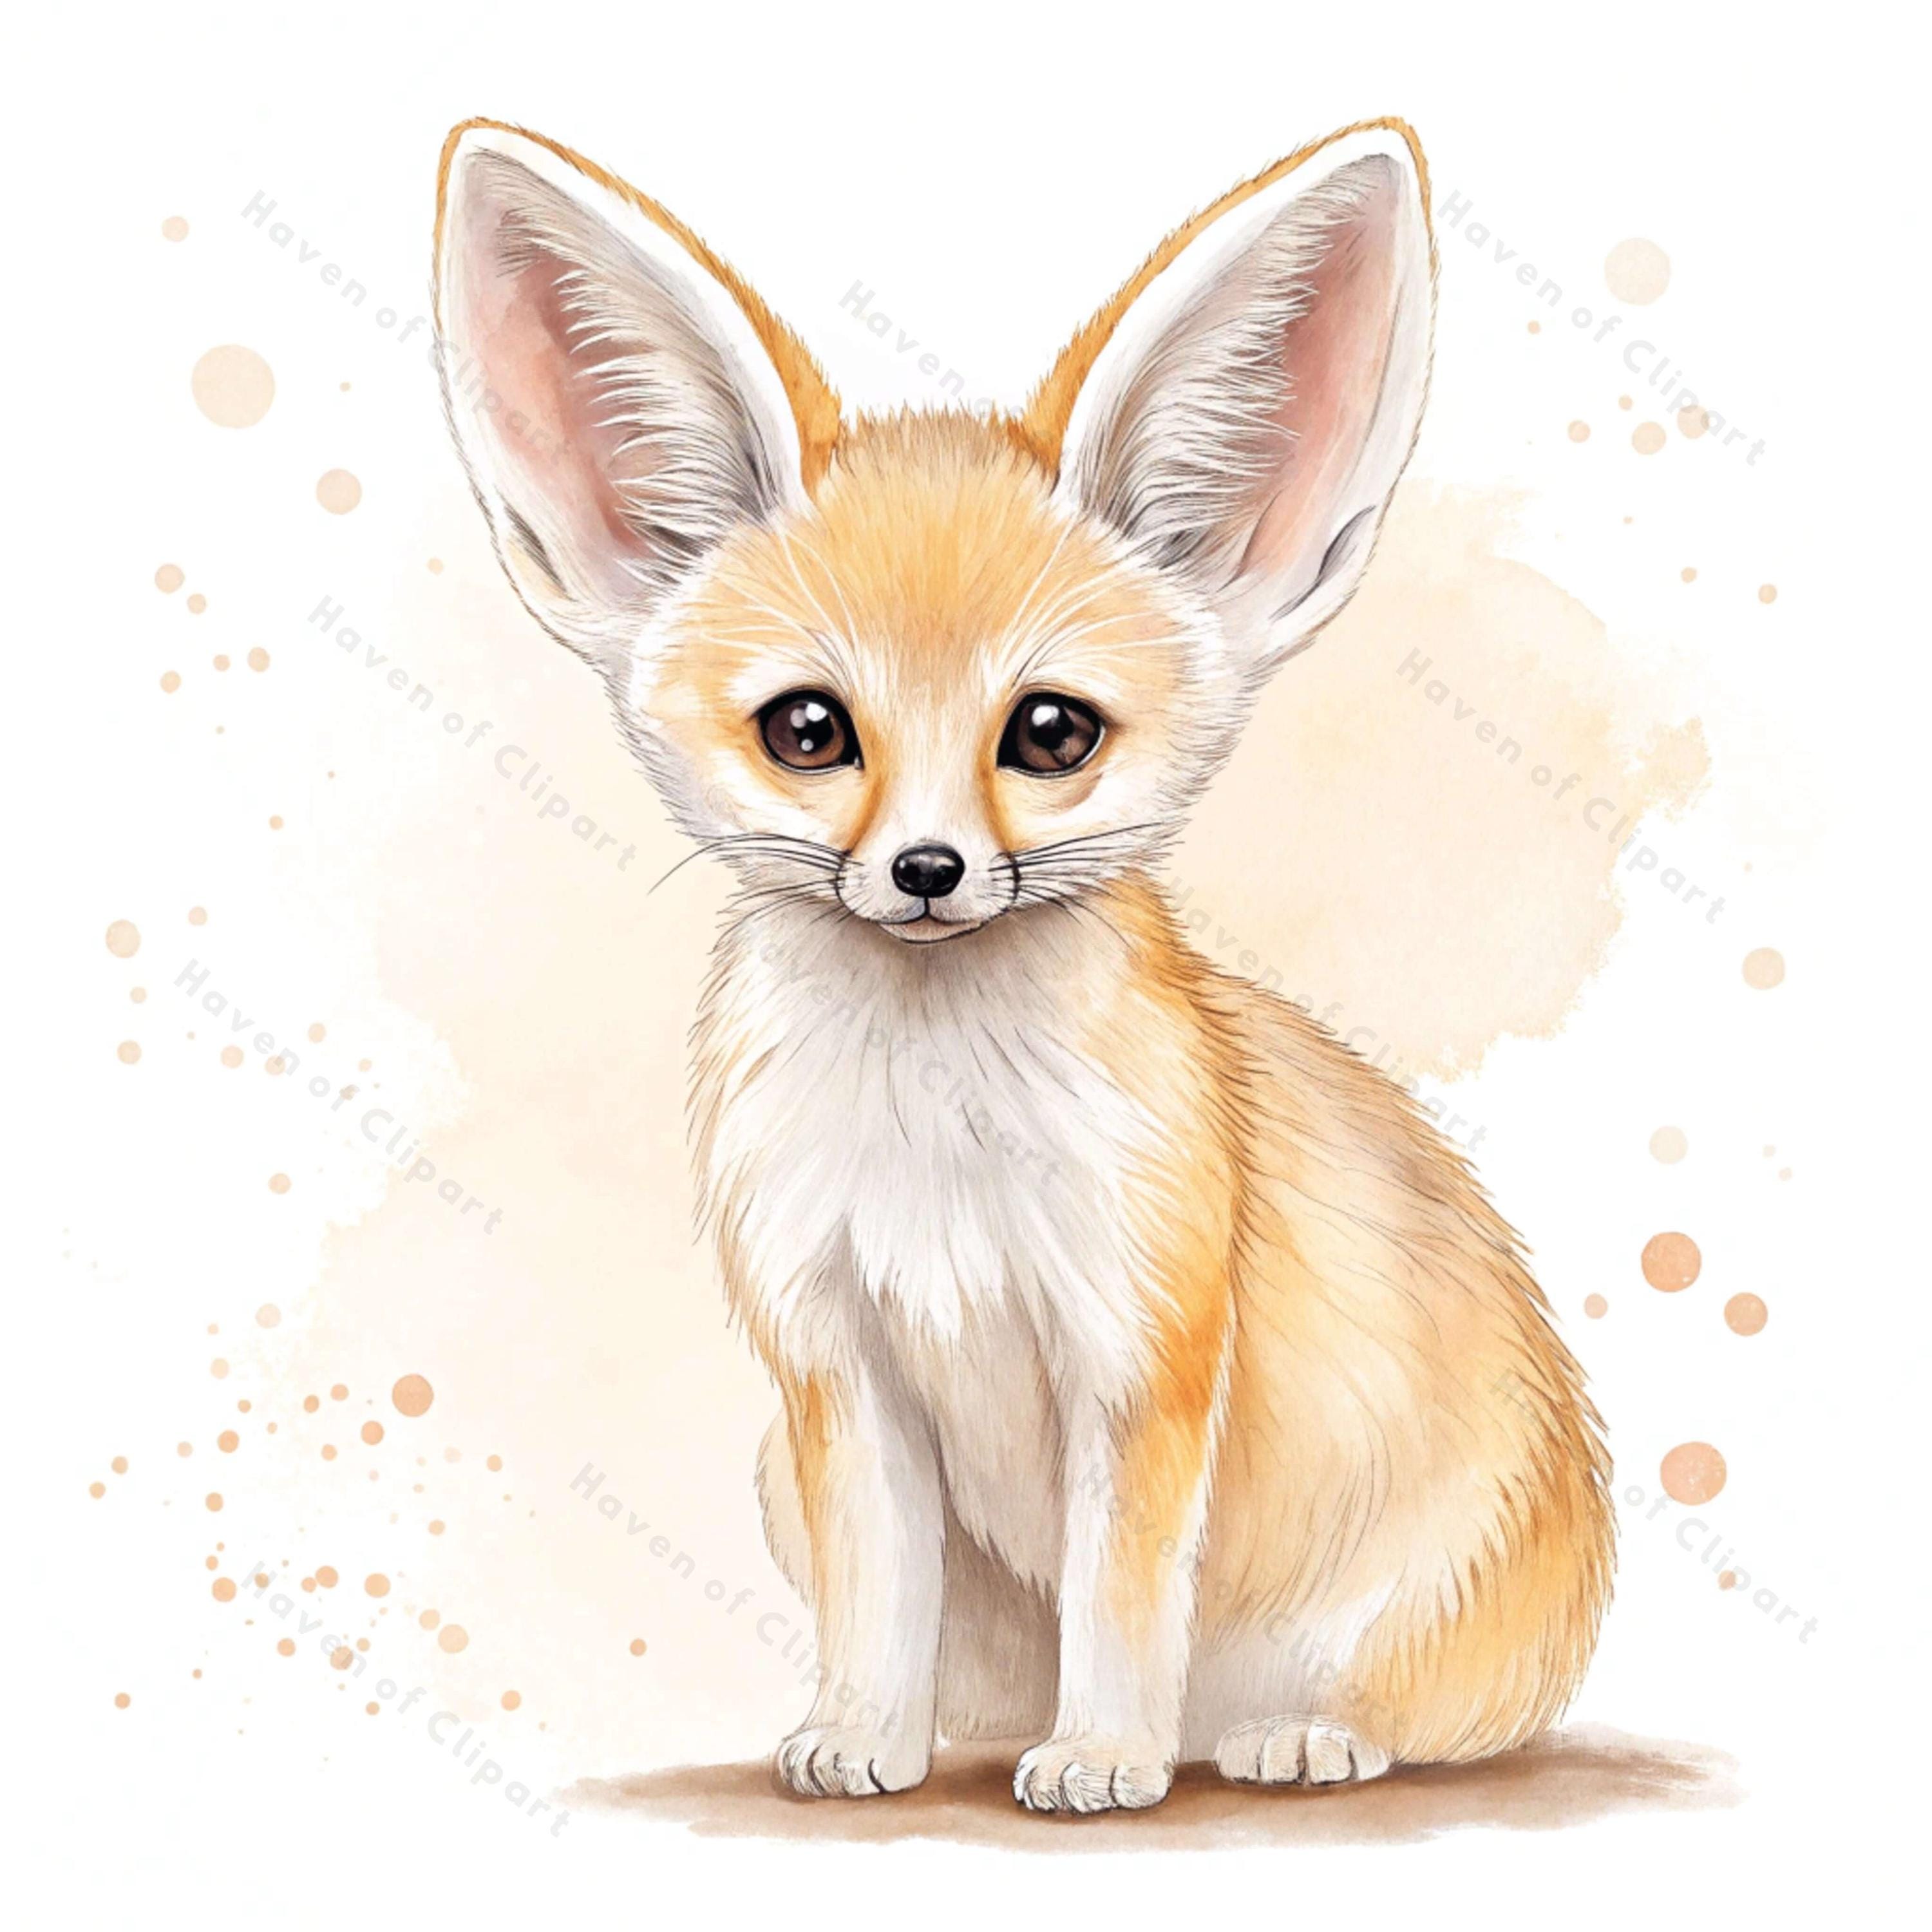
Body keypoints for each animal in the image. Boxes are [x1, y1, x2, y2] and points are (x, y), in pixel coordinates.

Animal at [434, 115, 1613, 1814]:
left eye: (1049, 733)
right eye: (809, 729)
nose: (927, 872)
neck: (934, 1138)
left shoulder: (1142, 1351)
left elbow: (1120, 1591)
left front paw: (1104, 1753)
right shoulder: (838, 1369)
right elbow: (880, 1592)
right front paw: (864, 1733)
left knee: (1417, 1709)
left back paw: (1285, 1737)